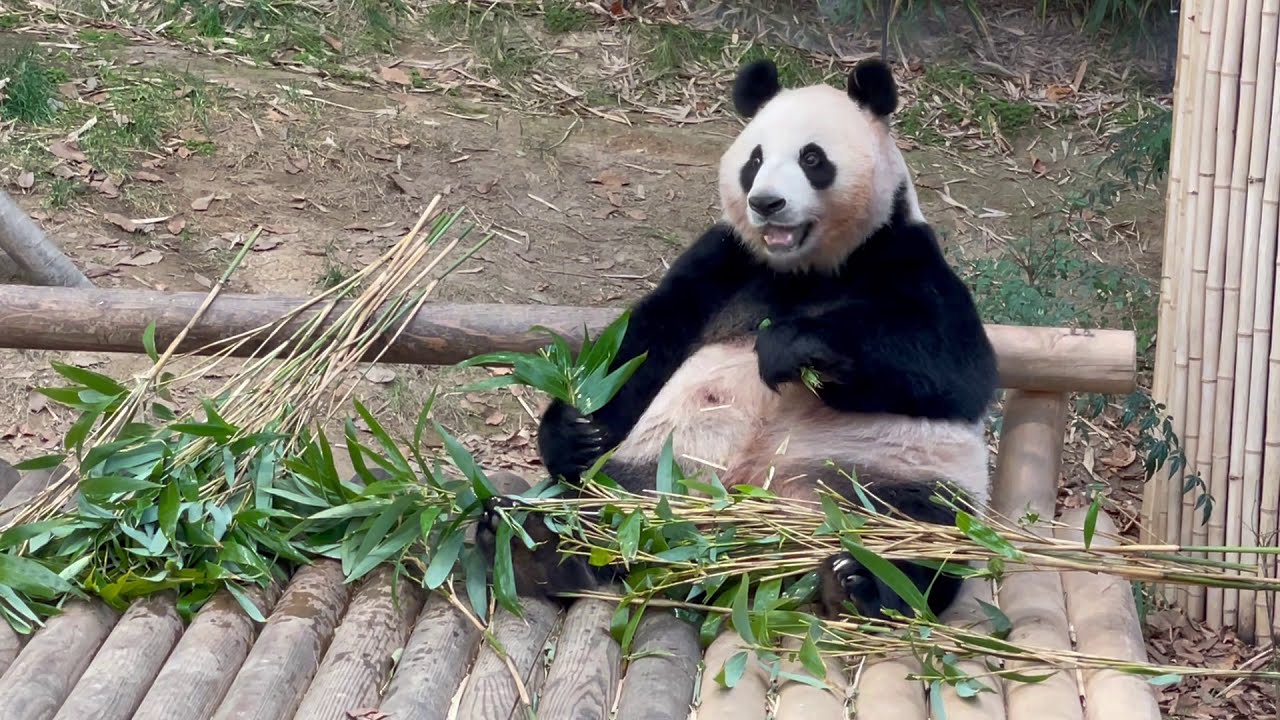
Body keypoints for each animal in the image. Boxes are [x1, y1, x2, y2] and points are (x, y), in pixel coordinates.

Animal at [480, 57, 998, 622]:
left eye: (812, 158)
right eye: (755, 158)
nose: (766, 202)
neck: (805, 269)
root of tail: (742, 541)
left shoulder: (906, 257)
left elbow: (956, 366)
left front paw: (790, 347)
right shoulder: (724, 261)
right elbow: (643, 345)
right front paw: (573, 432)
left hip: (890, 477)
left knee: (920, 537)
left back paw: (858, 584)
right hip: (660, 472)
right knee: (600, 509)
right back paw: (528, 541)